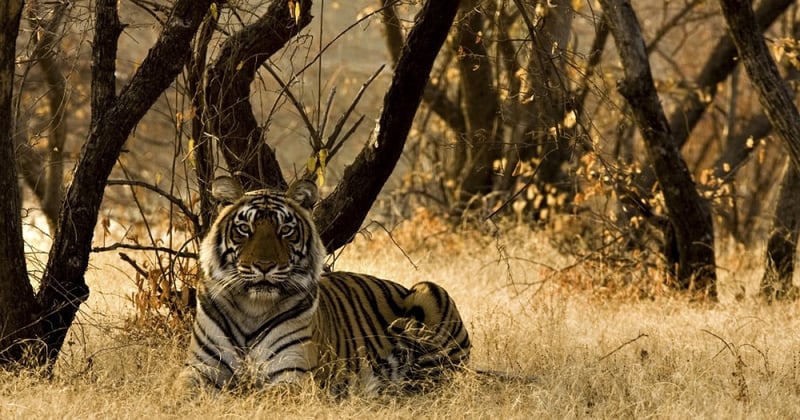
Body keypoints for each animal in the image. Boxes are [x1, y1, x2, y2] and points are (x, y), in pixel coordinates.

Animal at [177, 176, 470, 395]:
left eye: (285, 230)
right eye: (245, 229)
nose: (264, 265)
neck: (252, 308)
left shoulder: (292, 375)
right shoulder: (200, 370)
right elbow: (181, 392)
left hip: (429, 292)